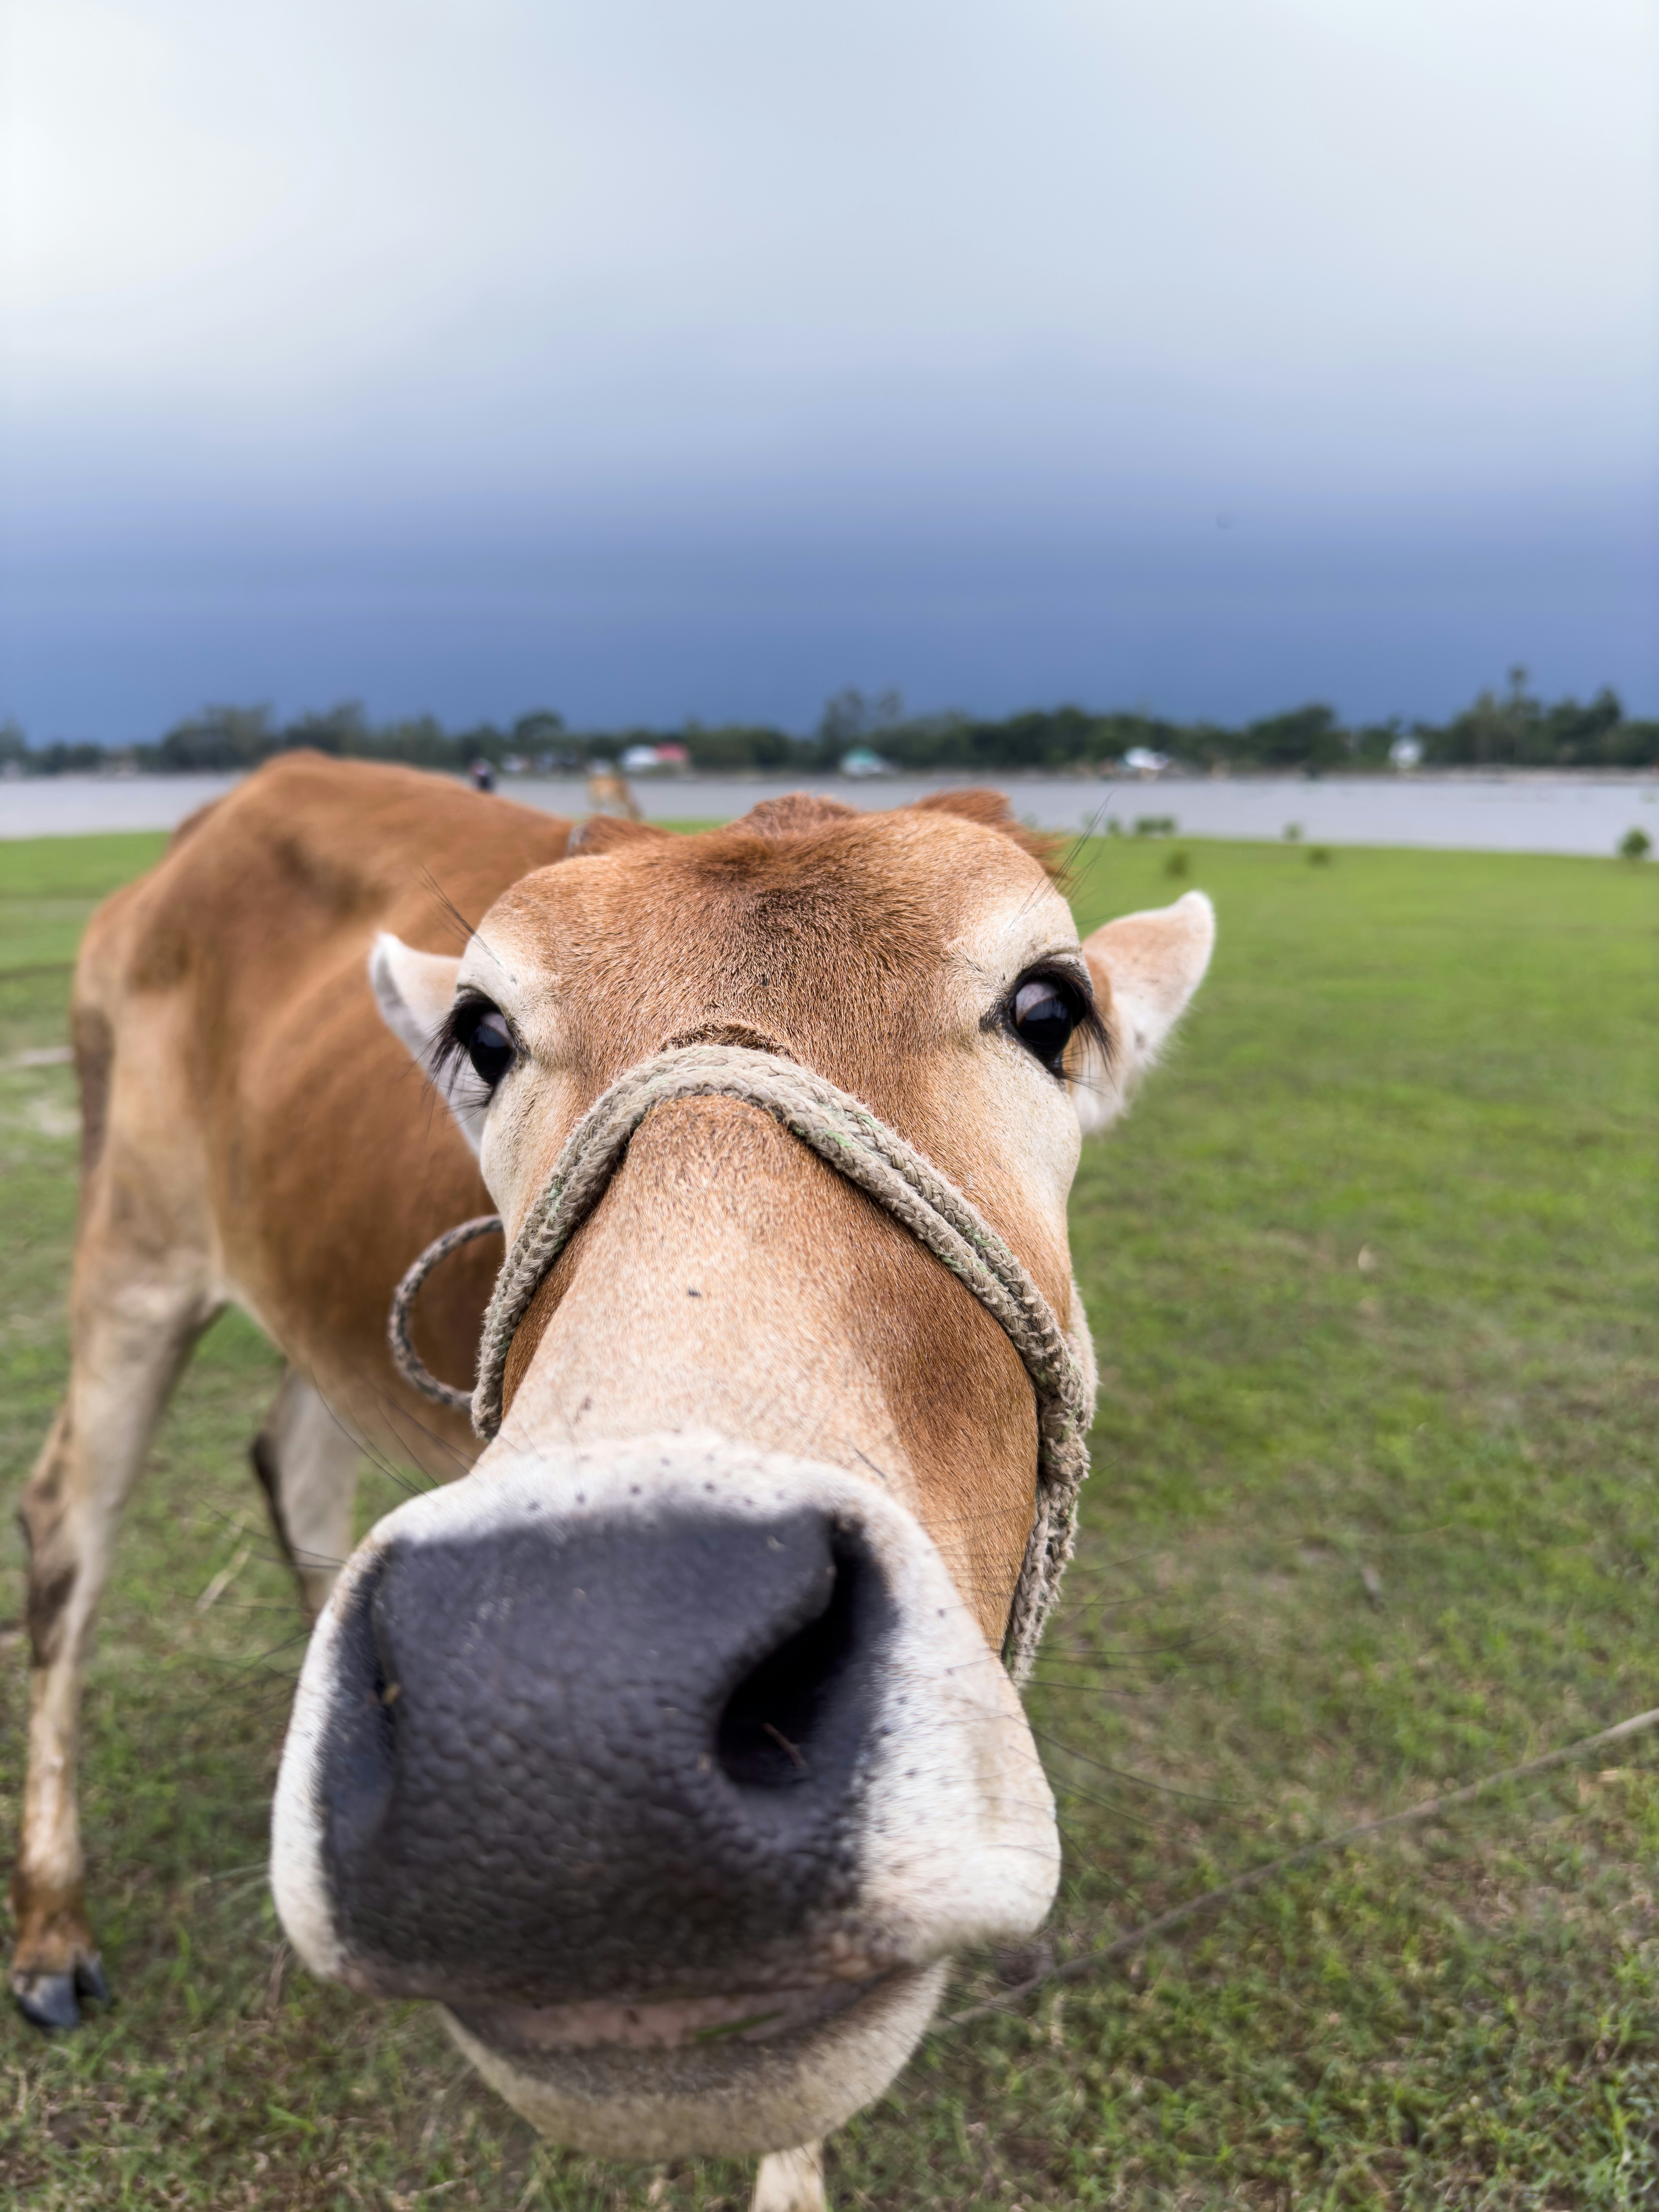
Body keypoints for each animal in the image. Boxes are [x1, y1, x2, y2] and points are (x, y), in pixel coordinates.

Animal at [10, 753, 1213, 2209]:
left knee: (290, 1462)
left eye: (1052, 1006)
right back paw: (53, 1930)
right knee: (66, 1527)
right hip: (130, 1249)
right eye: (482, 1035)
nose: (574, 1731)